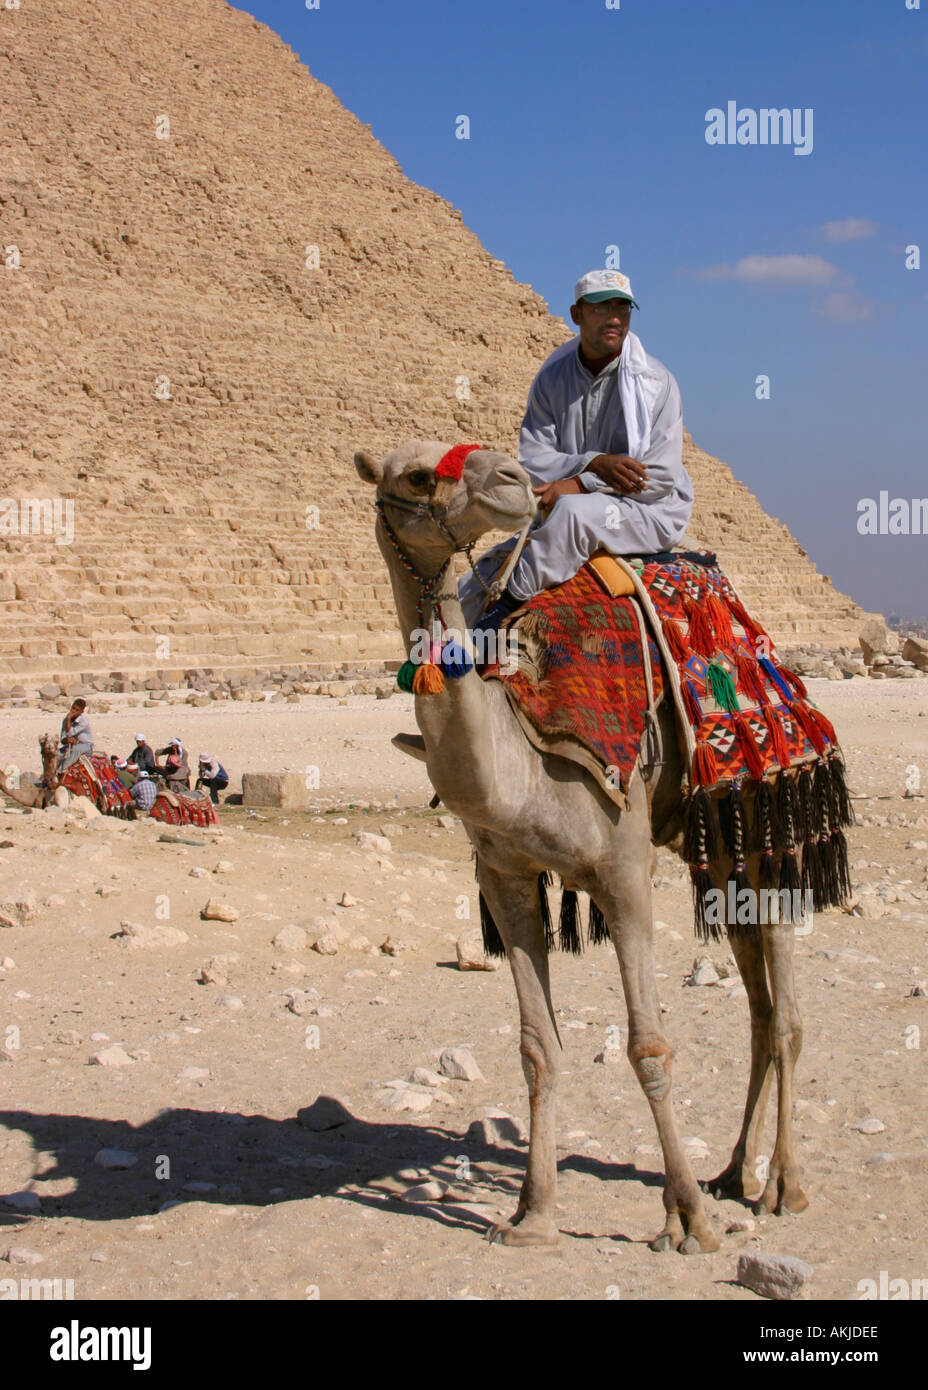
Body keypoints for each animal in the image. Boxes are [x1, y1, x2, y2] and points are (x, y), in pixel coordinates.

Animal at [355, 439, 809, 1253]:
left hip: (761, 813)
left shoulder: (623, 869)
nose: (514, 482)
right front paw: (532, 1214)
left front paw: (689, 1222)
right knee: (757, 1004)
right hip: (716, 847)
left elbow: (647, 1049)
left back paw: (781, 1186)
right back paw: (733, 1172)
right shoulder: (504, 877)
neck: (519, 760)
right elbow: (538, 1048)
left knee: (784, 1010)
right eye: (416, 474)